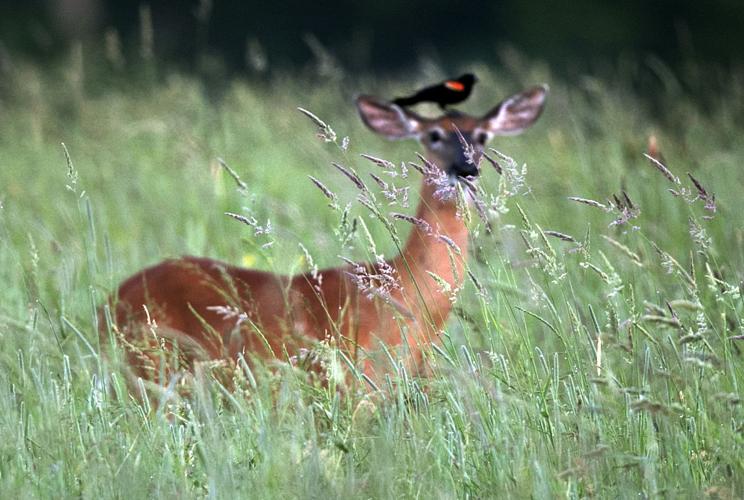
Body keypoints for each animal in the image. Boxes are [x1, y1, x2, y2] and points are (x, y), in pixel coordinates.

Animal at [103, 85, 548, 394]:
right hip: (153, 371)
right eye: (434, 135)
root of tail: (105, 303)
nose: (466, 169)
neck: (407, 295)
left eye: (484, 135)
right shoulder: (360, 381)